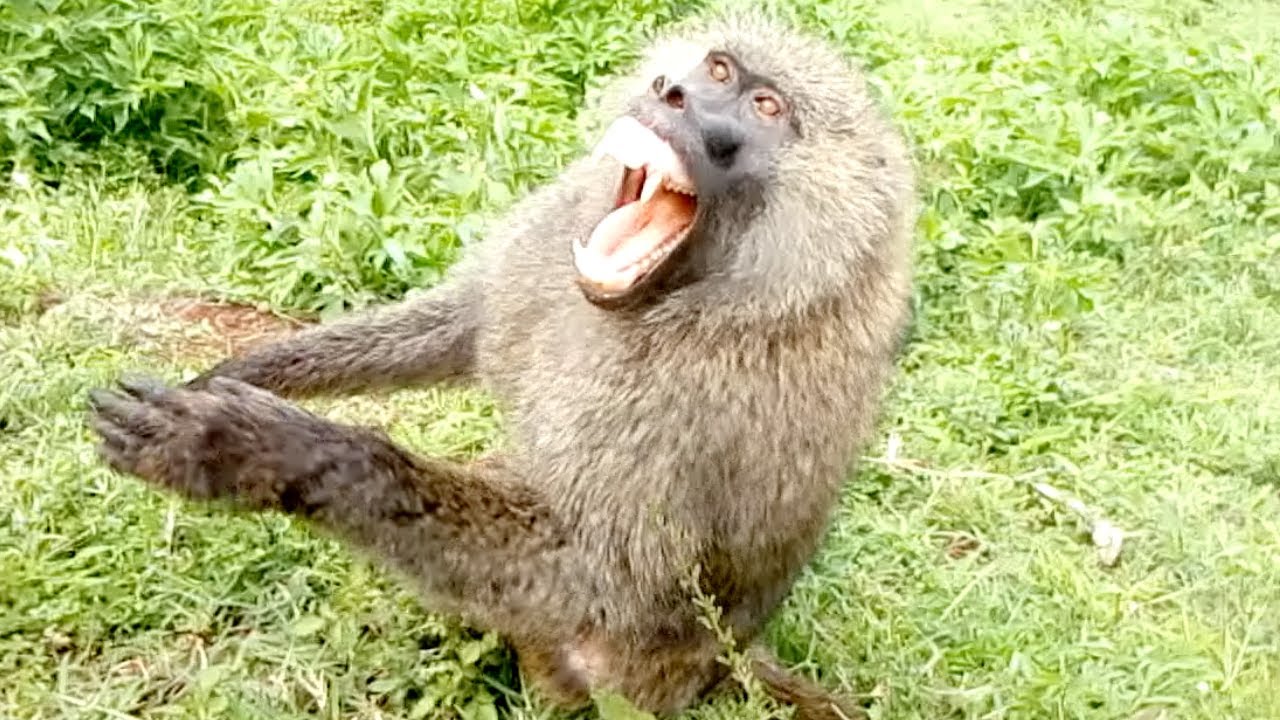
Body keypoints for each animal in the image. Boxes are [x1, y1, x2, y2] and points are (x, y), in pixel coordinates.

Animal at [86, 10, 915, 720]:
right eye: (717, 69)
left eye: (767, 108)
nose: (672, 92)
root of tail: (724, 664)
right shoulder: (554, 240)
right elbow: (460, 325)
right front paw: (236, 377)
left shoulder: (701, 396)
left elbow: (606, 582)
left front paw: (250, 451)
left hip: (617, 679)